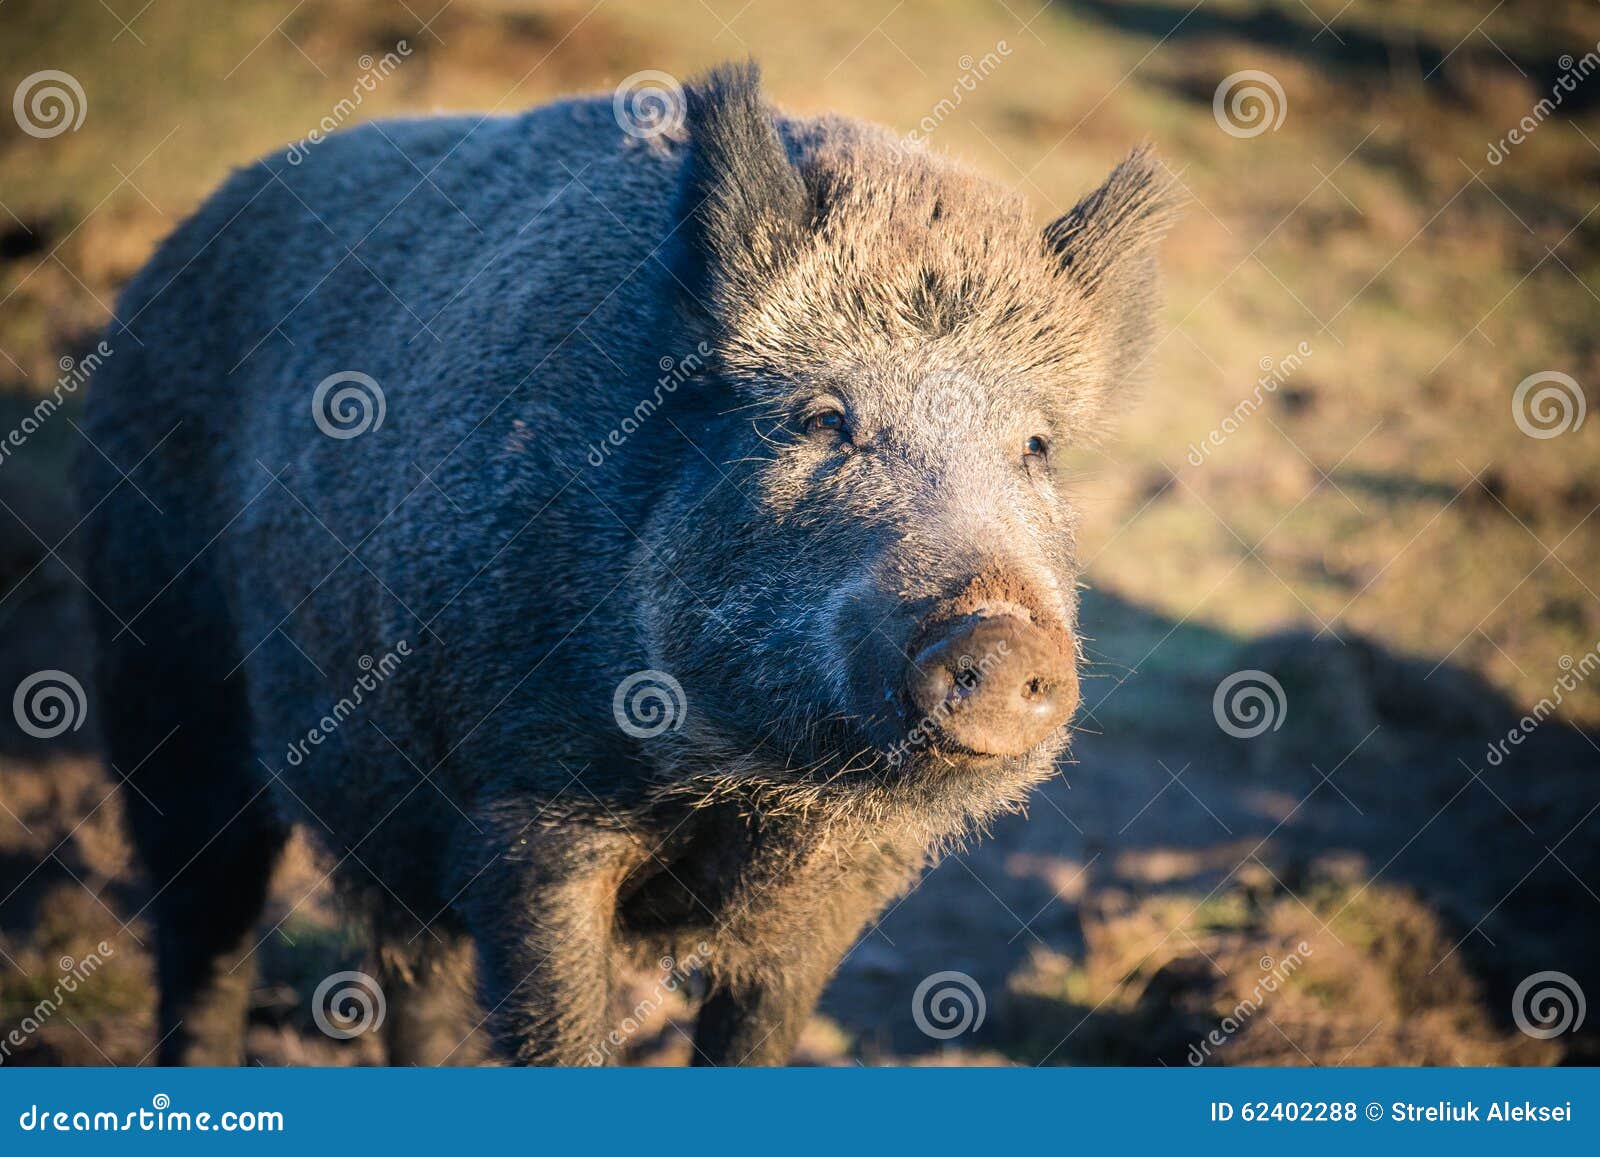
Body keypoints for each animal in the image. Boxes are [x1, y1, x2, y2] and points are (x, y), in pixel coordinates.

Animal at [79, 62, 1176, 1065]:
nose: (1001, 629)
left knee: (412, 978)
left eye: (1034, 447)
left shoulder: (837, 887)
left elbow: (755, 1037)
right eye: (823, 419)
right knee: (204, 924)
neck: (754, 790)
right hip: (161, 673)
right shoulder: (526, 810)